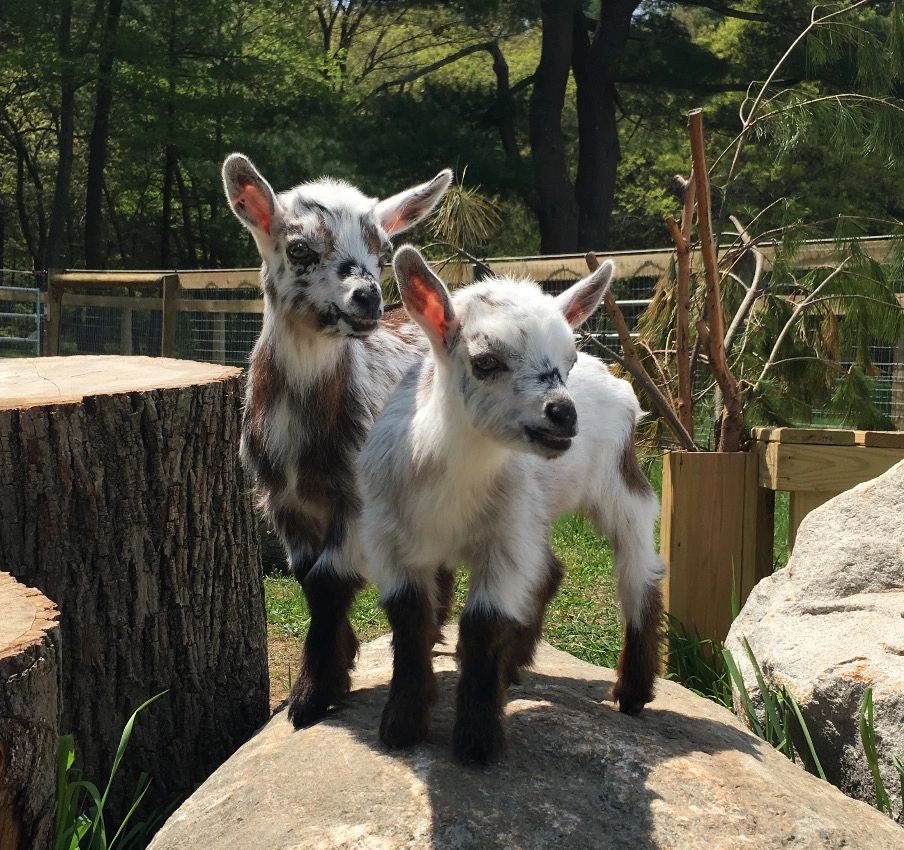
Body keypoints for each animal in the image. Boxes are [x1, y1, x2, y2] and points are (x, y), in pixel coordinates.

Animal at [221, 155, 452, 726]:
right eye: (300, 249)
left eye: (383, 255)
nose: (367, 297)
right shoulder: (282, 501)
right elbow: (309, 579)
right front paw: (331, 670)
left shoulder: (357, 496)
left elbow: (329, 580)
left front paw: (311, 695)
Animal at [359, 246, 665, 764]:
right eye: (485, 361)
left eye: (567, 360)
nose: (564, 414)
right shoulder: (391, 542)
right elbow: (410, 621)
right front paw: (402, 724)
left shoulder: (504, 541)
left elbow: (483, 625)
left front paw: (477, 740)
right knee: (551, 570)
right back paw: (518, 663)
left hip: (620, 483)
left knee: (638, 569)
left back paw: (633, 692)